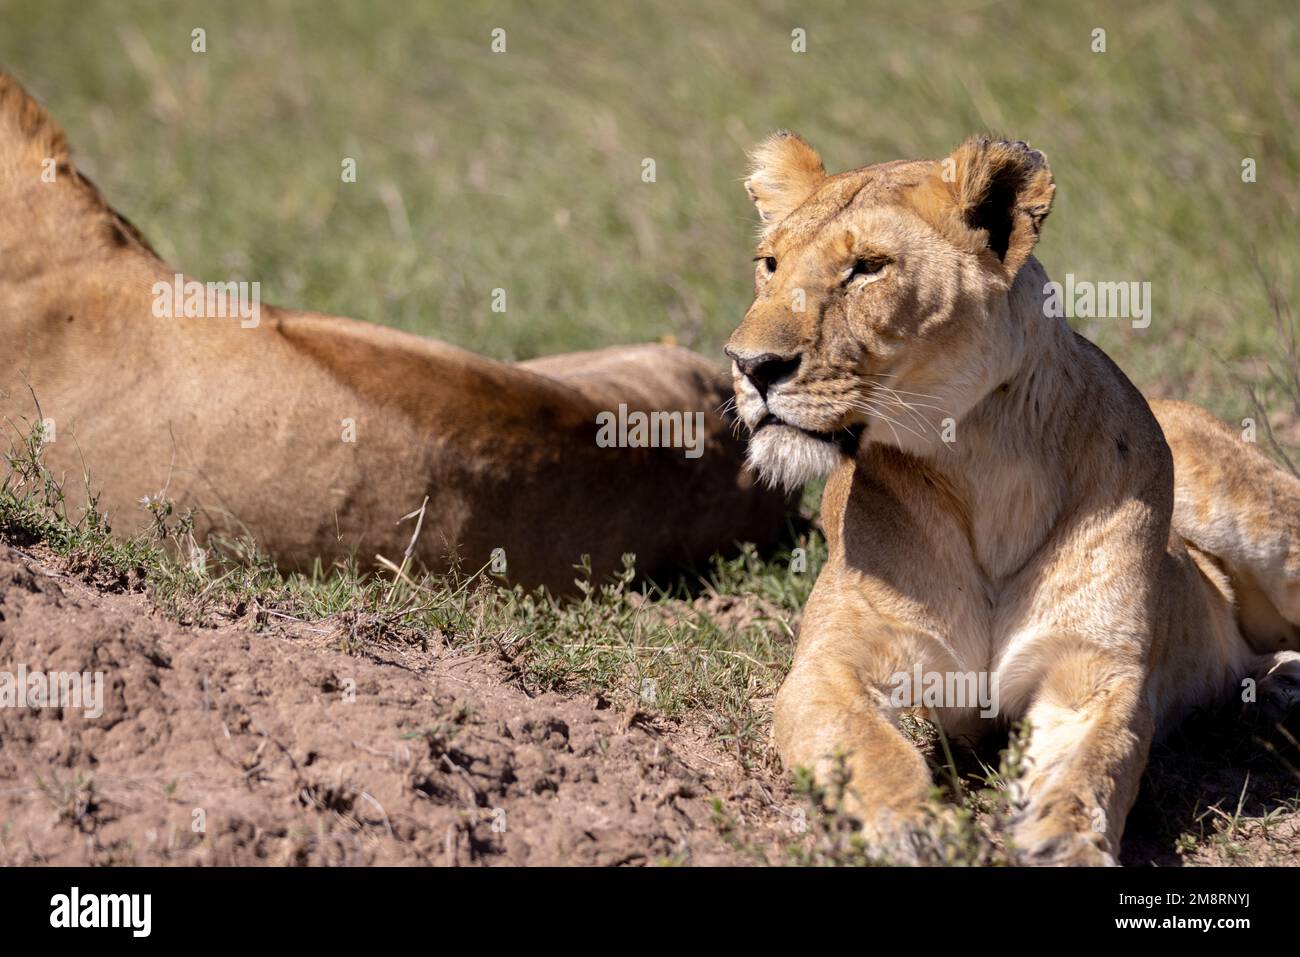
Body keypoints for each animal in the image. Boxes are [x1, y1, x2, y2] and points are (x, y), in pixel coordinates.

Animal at [725, 130, 1300, 864]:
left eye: (867, 268)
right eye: (769, 264)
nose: (748, 365)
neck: (984, 461)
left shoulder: (1090, 671)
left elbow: (1093, 764)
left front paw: (1066, 841)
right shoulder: (834, 664)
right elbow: (867, 746)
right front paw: (912, 825)